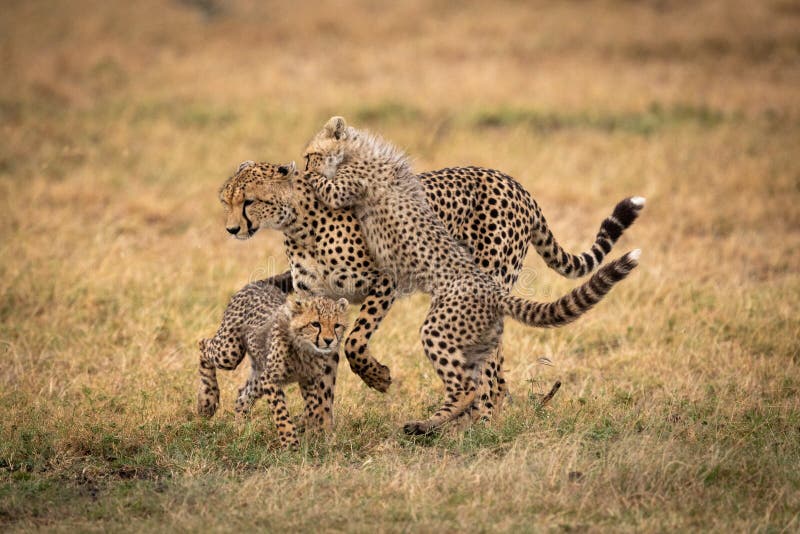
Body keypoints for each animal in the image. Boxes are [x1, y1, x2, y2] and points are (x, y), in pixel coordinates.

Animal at [197, 278, 348, 448]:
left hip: (258, 372)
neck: (305, 348)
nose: (329, 340)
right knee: (203, 344)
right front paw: (290, 443)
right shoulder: (270, 379)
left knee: (243, 396)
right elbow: (281, 412)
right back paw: (207, 401)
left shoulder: (309, 380)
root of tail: (261, 283)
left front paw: (310, 431)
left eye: (337, 325)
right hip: (229, 352)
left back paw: (239, 429)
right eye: (315, 324)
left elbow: (313, 406)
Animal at [218, 143, 643, 421]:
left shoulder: (384, 282)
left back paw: (480, 429)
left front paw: (378, 378)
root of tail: (511, 181)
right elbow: (322, 372)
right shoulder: (316, 306)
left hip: (479, 286)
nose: (231, 229)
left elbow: (355, 342)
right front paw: (316, 430)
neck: (299, 224)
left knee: (489, 373)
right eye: (226, 200)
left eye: (249, 201)